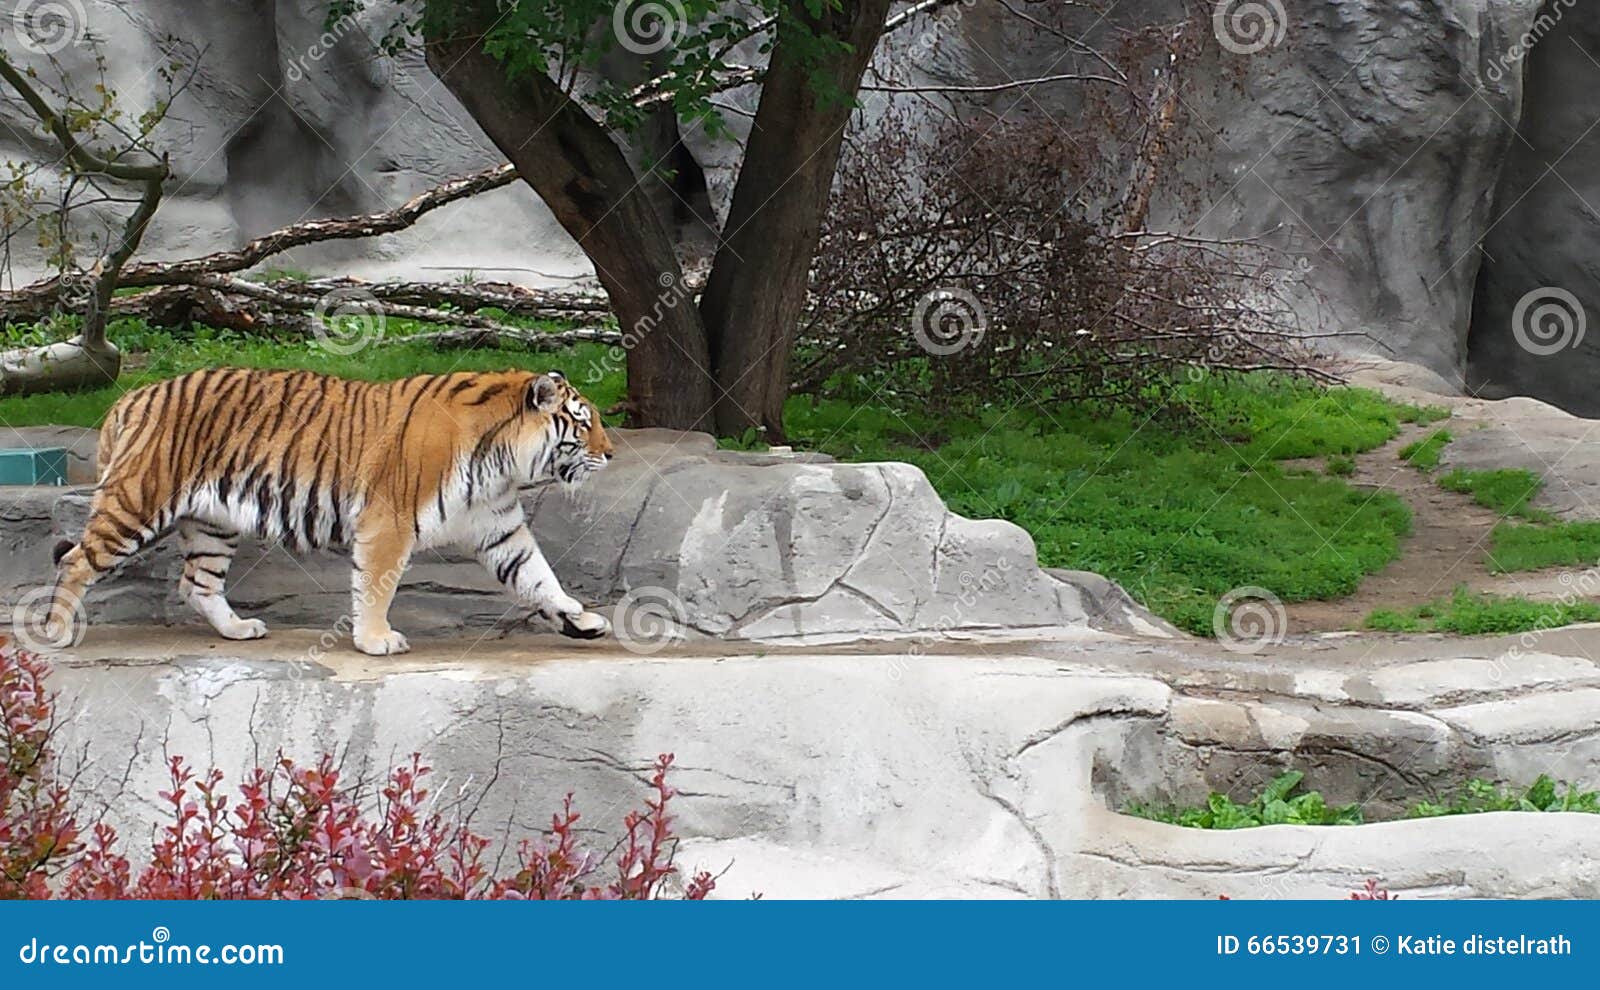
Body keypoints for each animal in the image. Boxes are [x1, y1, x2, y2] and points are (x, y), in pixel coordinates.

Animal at [41, 366, 614, 656]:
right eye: (584, 424)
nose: (611, 454)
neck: (503, 460)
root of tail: (131, 397)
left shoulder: (499, 527)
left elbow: (539, 576)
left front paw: (581, 620)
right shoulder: (389, 521)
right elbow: (377, 585)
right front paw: (376, 640)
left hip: (211, 524)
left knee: (196, 584)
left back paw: (239, 629)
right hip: (138, 501)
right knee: (75, 561)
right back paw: (55, 632)